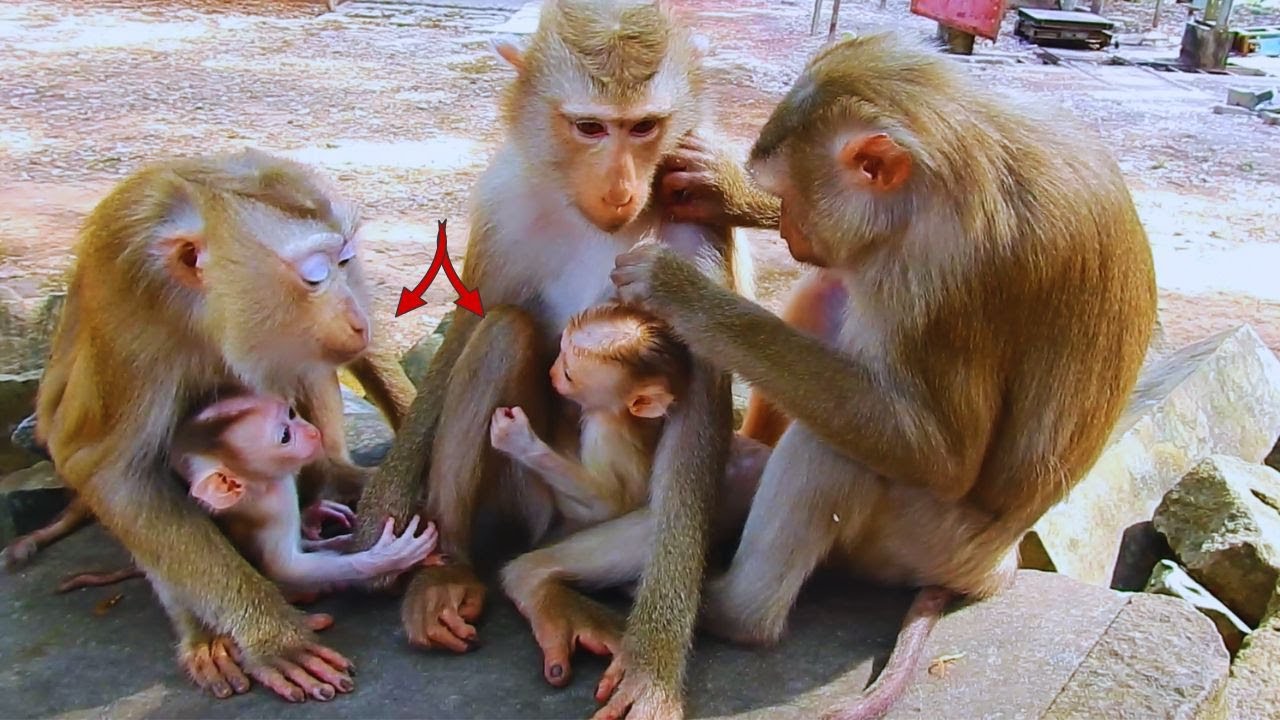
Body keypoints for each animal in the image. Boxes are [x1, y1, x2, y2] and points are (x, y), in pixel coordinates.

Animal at [33, 148, 416, 704]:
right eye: (315, 276)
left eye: (346, 261)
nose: (355, 318)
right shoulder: (128, 304)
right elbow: (106, 469)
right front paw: (273, 635)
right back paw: (208, 633)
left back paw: (331, 482)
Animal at [350, 2, 754, 717]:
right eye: (590, 127)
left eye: (643, 127)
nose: (621, 189)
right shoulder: (503, 202)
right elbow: (473, 318)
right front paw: (386, 509)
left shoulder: (694, 216)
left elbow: (700, 394)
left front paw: (652, 668)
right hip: (521, 504)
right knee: (504, 332)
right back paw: (452, 573)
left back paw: (547, 592)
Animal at [616, 33, 1157, 720]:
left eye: (794, 196)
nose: (788, 229)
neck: (962, 154)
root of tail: (995, 567)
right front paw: (721, 186)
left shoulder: (942, 273)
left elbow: (941, 455)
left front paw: (679, 290)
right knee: (828, 289)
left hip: (922, 539)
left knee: (837, 450)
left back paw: (734, 612)